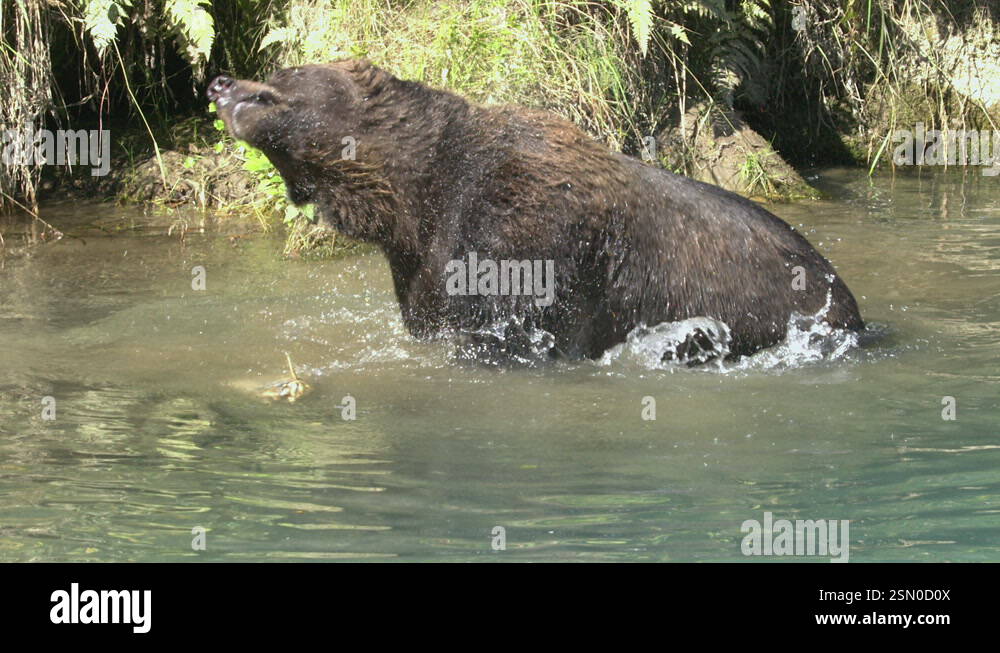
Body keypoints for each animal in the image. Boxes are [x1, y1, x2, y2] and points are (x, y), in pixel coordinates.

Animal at [207, 59, 863, 363]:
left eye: (284, 70)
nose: (218, 82)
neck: (413, 197)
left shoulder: (527, 228)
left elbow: (515, 328)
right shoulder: (422, 266)